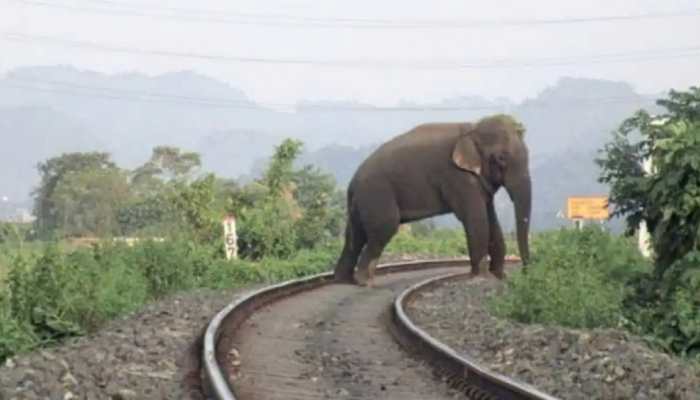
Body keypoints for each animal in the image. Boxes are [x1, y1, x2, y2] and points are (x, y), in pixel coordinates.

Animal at [333, 114, 531, 287]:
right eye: (501, 158)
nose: (525, 273)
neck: (471, 129)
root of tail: (352, 183)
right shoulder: (457, 177)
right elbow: (475, 218)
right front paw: (482, 278)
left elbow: (491, 220)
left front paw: (499, 276)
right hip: (377, 194)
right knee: (383, 228)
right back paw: (364, 282)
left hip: (361, 202)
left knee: (355, 235)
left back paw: (343, 280)